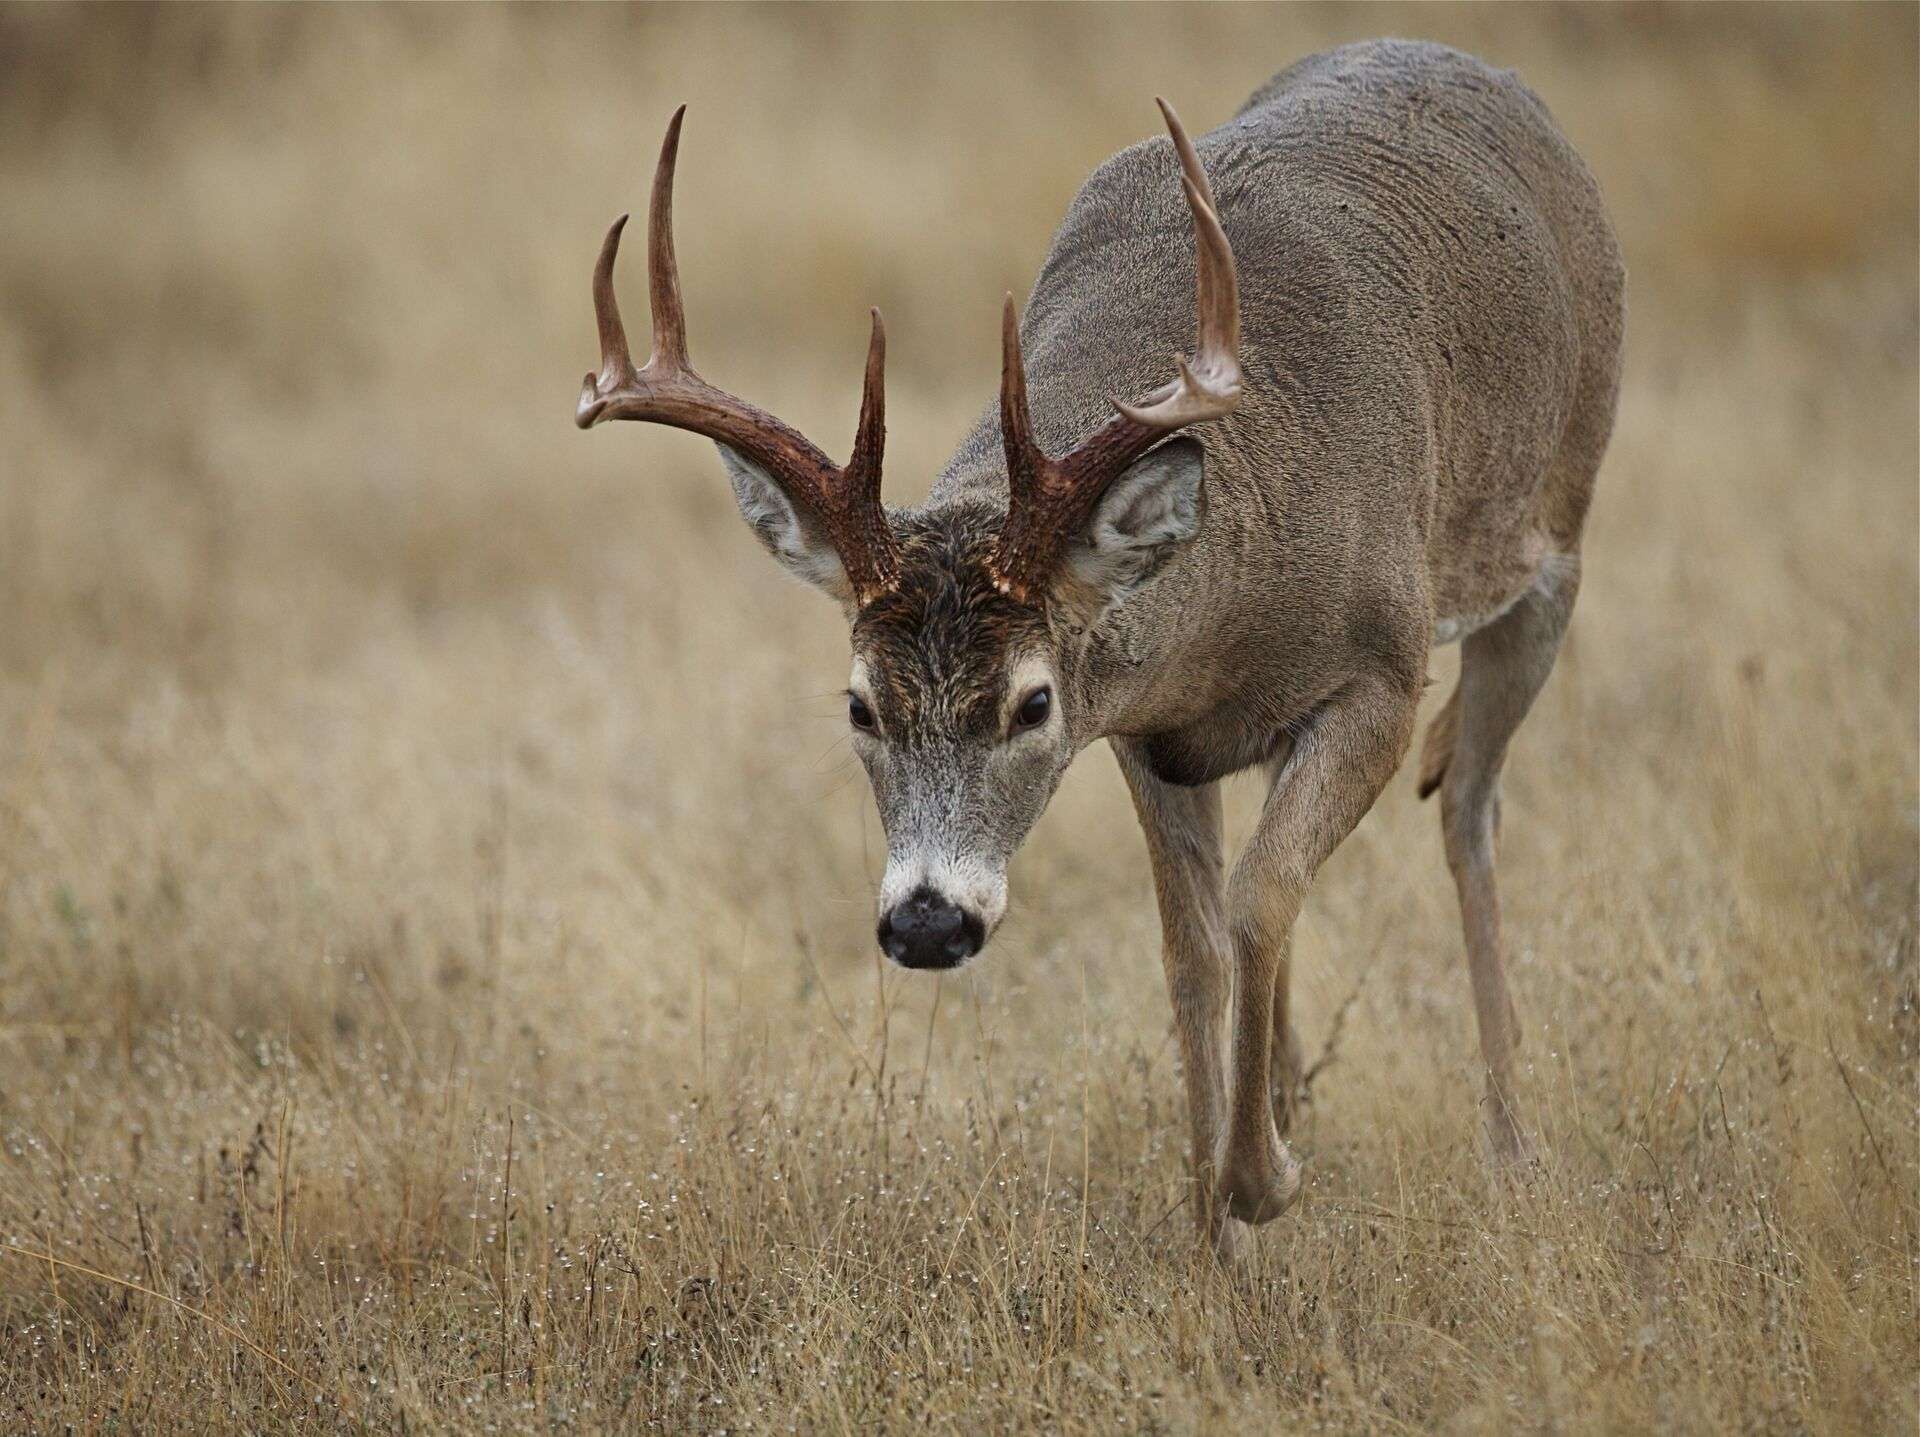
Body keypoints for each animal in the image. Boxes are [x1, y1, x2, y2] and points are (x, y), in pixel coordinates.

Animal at [575, 39, 1624, 1258]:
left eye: (1031, 704)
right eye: (860, 705)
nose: (927, 923)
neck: (1234, 612)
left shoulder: (1384, 670)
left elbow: (1260, 897)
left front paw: (1263, 1179)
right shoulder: (1147, 729)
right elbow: (1194, 947)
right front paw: (1217, 1222)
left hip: (1555, 540)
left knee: (1469, 810)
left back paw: (1511, 1142)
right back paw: (1298, 1092)